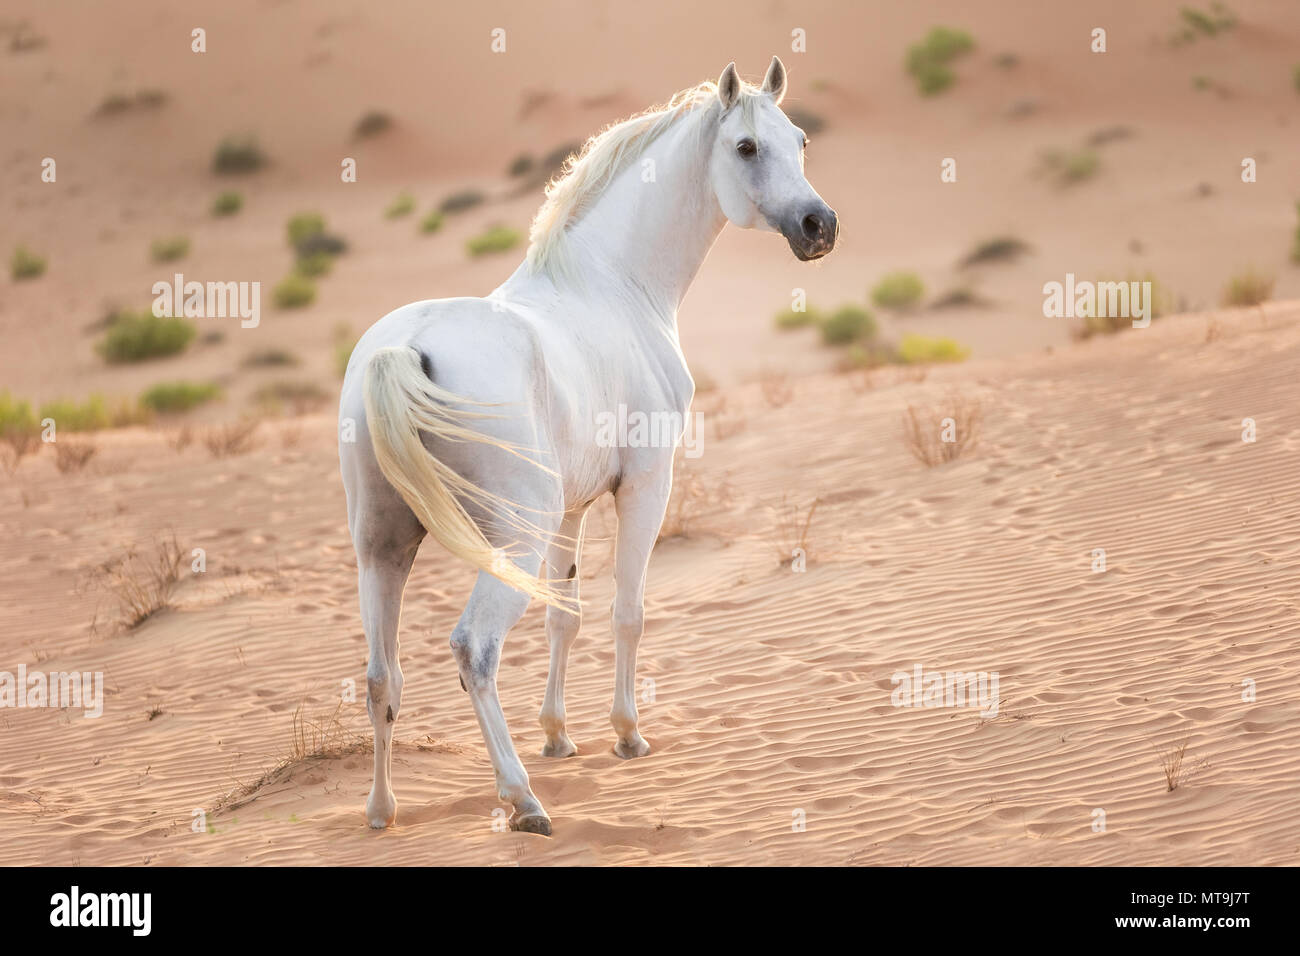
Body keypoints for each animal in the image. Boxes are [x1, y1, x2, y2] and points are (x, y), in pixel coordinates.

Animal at [338, 56, 838, 835]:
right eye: (747, 146)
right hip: (511, 537)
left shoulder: (571, 513)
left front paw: (558, 736)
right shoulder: (645, 488)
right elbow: (627, 612)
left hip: (382, 547)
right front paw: (627, 735)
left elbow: (563, 617)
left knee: (380, 676)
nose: (820, 226)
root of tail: (404, 349)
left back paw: (382, 811)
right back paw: (522, 802)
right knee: (473, 650)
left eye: (801, 140)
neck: (612, 286)